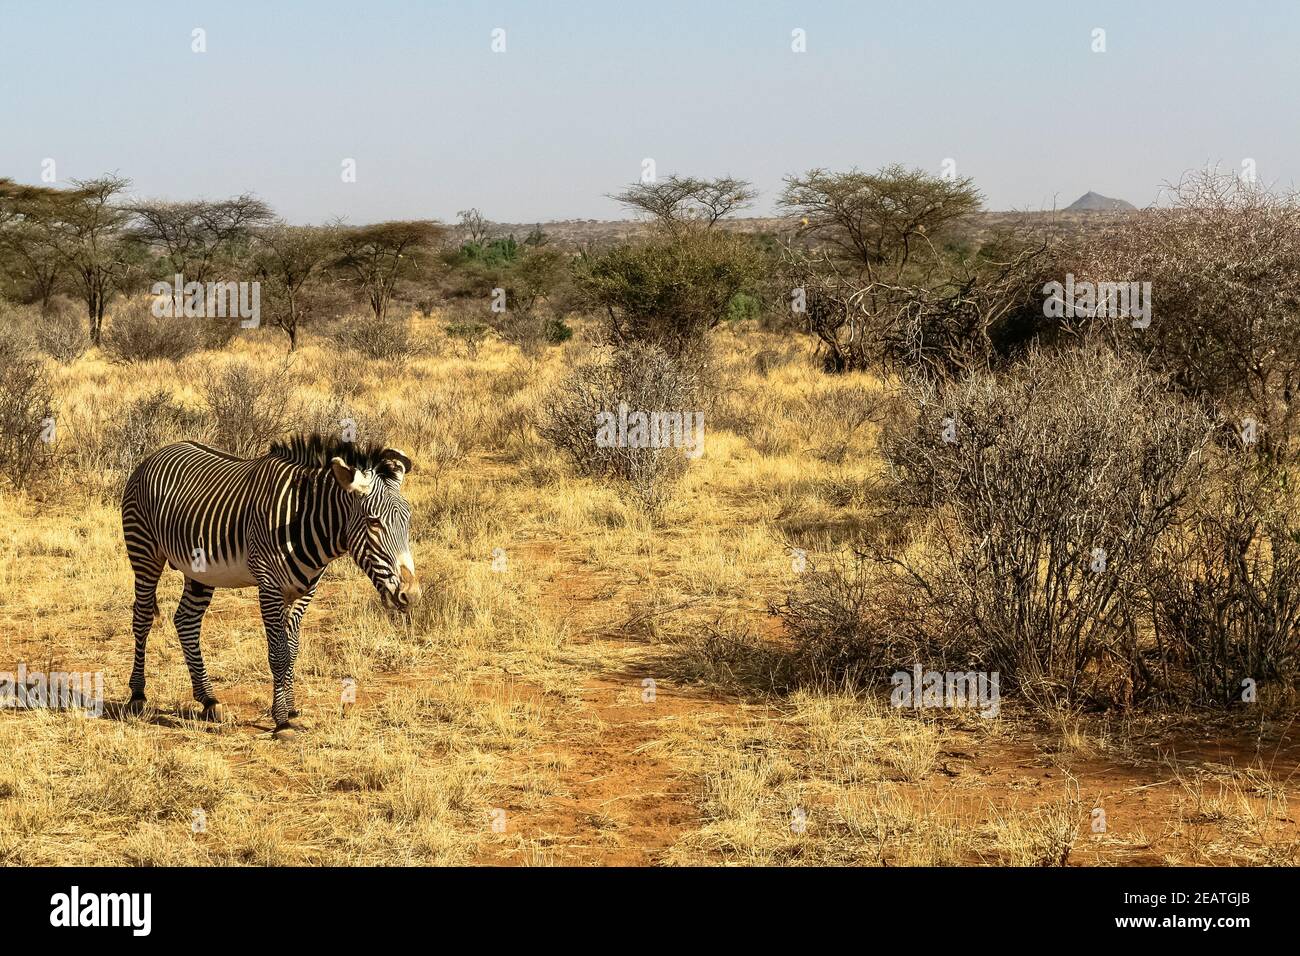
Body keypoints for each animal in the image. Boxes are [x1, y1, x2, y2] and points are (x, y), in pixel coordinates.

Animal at [121, 432, 421, 738]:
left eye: (408, 519)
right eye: (374, 523)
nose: (411, 595)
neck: (303, 519)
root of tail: (158, 453)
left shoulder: (304, 591)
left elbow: (292, 649)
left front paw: (291, 708)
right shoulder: (269, 587)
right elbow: (278, 654)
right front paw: (282, 721)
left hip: (199, 570)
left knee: (186, 621)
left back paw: (209, 699)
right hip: (143, 550)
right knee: (142, 618)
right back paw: (138, 696)